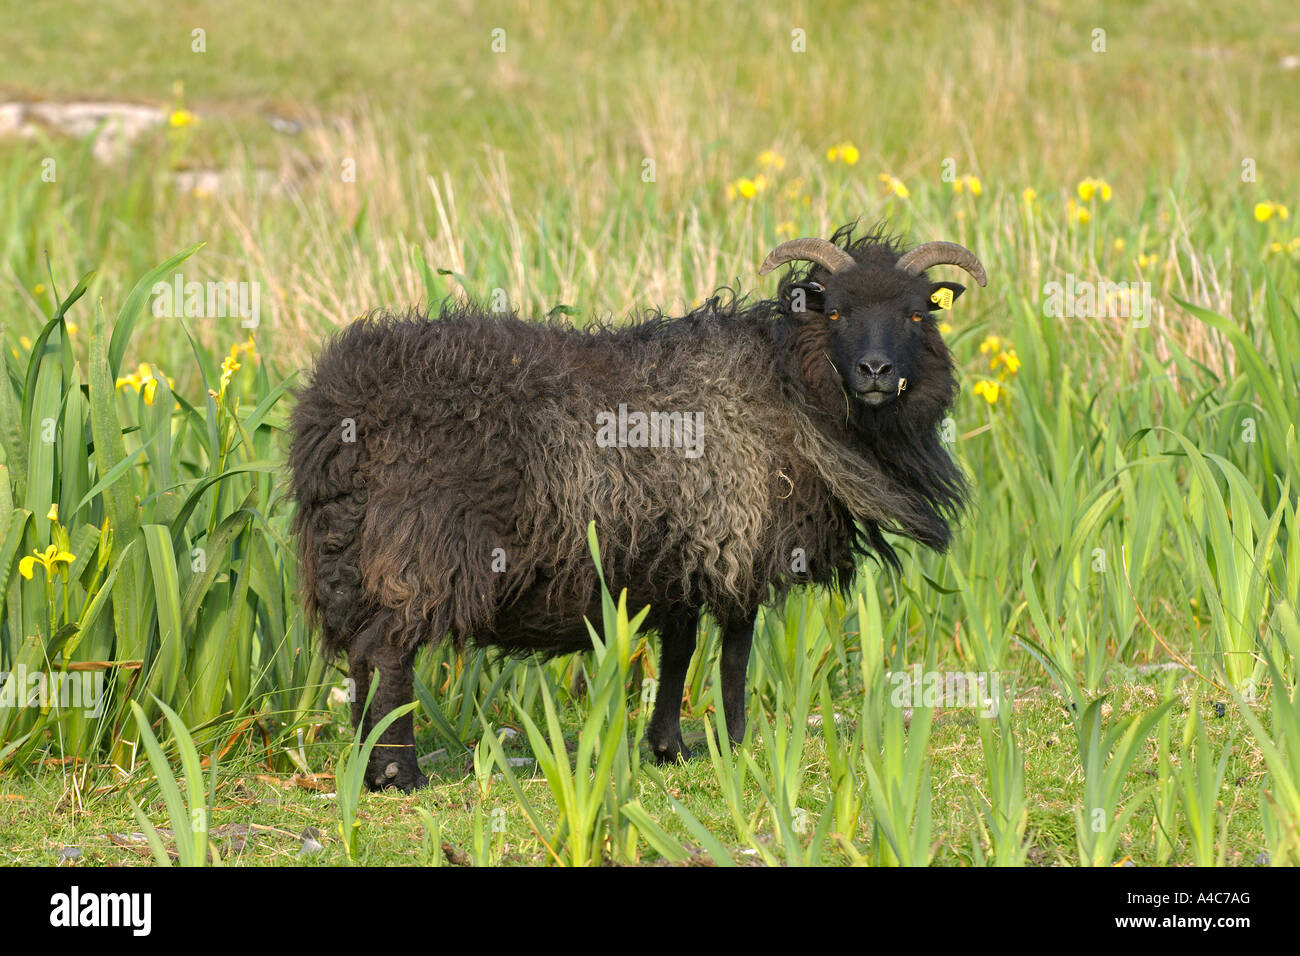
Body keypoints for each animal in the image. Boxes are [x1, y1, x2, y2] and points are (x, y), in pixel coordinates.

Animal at [289, 224, 987, 791]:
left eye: (918, 316)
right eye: (836, 312)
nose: (875, 370)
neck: (789, 384)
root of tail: (338, 409)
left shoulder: (685, 553)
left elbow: (678, 651)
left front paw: (669, 747)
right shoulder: (740, 545)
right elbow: (734, 654)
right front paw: (735, 744)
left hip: (350, 554)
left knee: (362, 657)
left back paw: (366, 766)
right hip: (424, 547)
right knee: (386, 652)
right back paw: (398, 775)